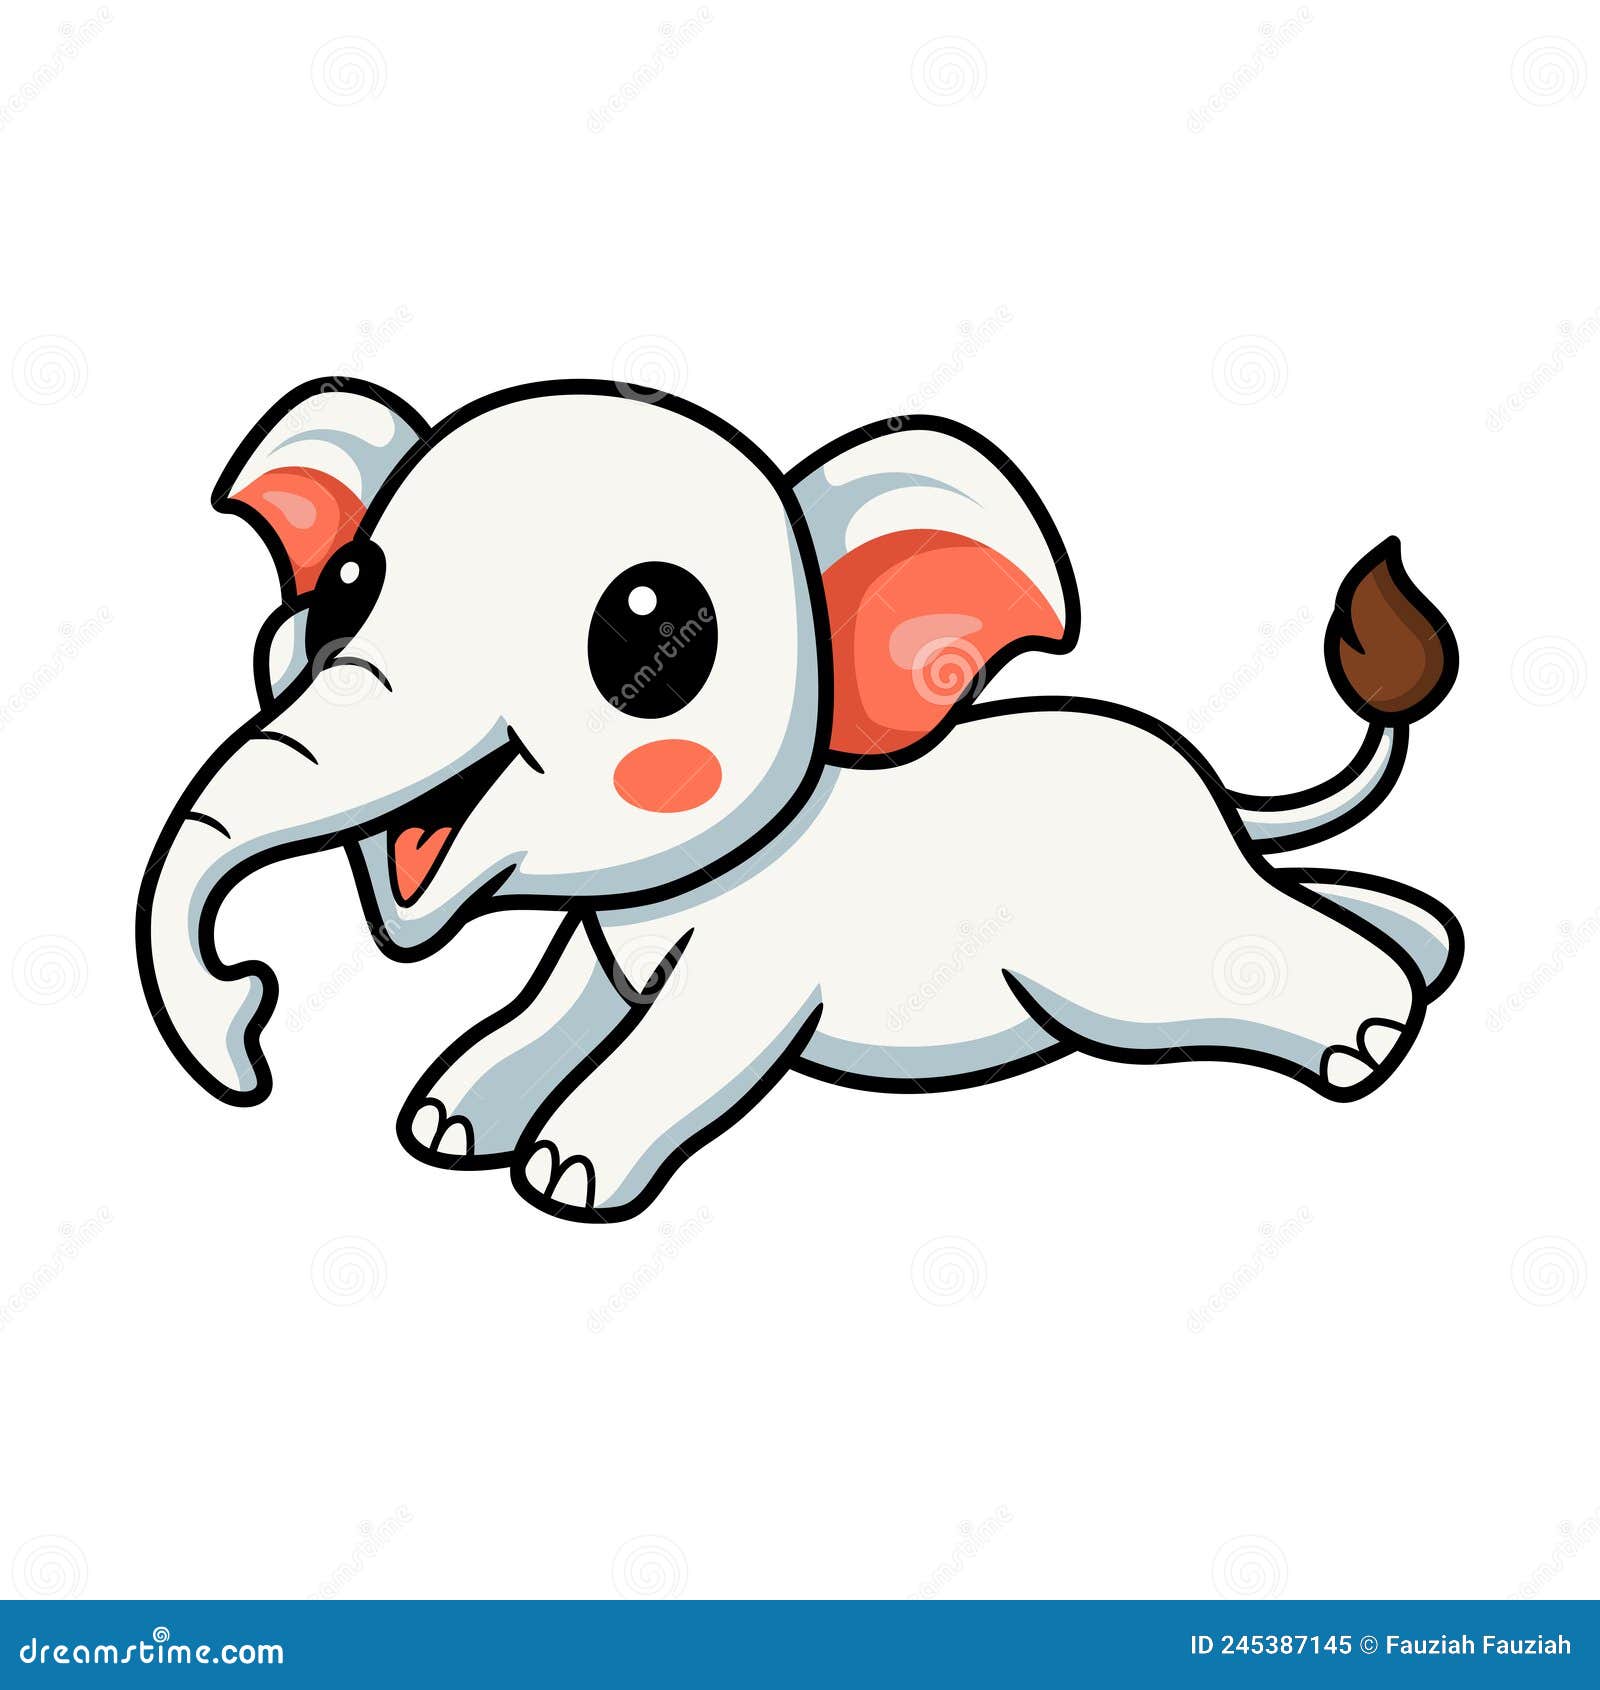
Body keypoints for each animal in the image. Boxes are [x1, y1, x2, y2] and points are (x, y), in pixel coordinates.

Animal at [136, 378, 1463, 1222]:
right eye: (343, 589)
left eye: (649, 629)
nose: (249, 1012)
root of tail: (1197, 776)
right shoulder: (602, 936)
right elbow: (559, 1003)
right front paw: (449, 1123)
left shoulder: (764, 955)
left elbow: (699, 1037)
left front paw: (566, 1170)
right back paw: (1420, 949)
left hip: (1121, 936)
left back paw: (1369, 1030)